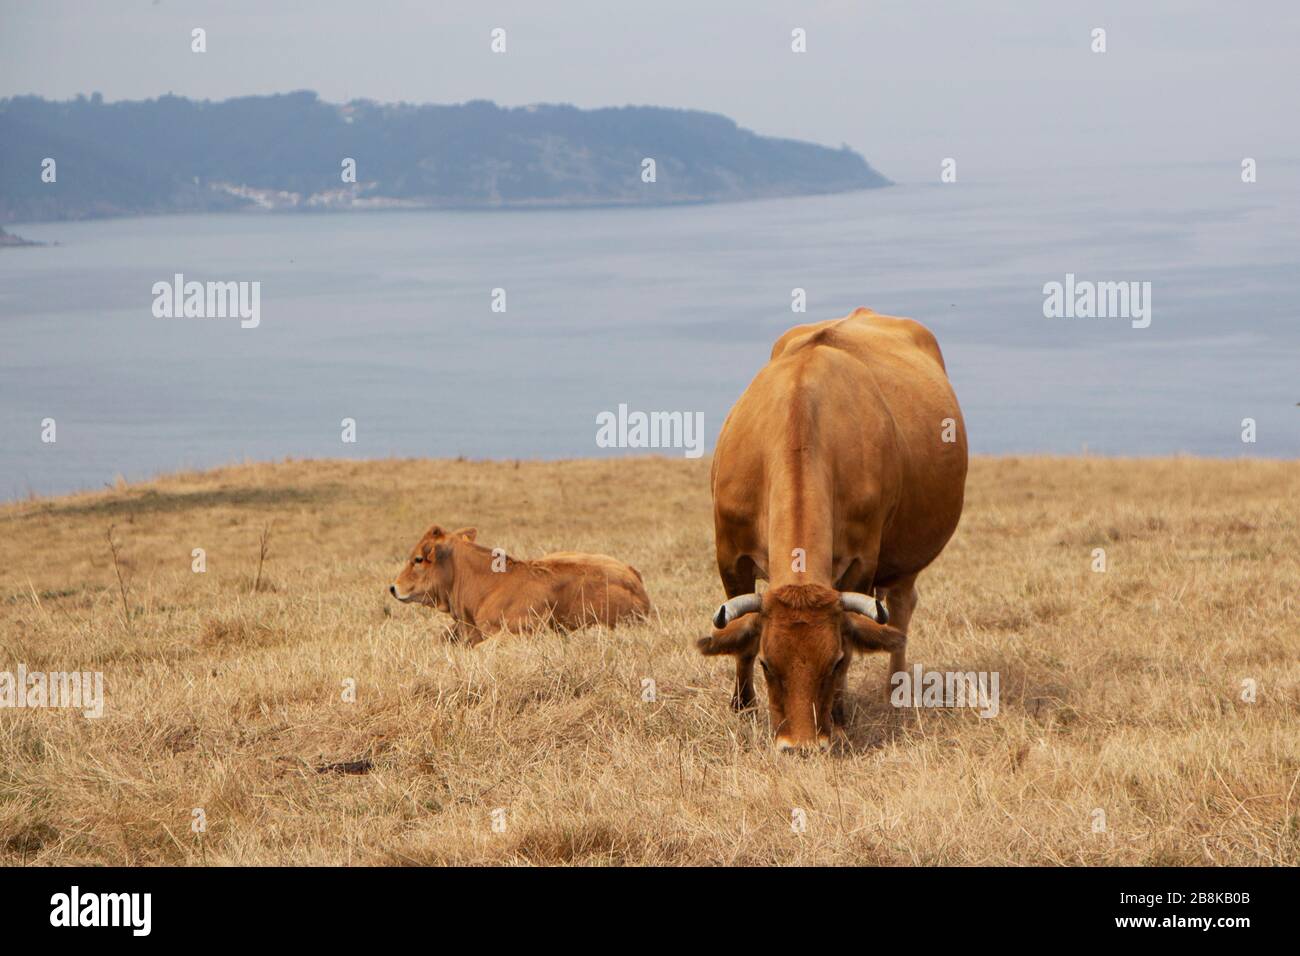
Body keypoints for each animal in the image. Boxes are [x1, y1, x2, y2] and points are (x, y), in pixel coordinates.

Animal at [698, 308, 968, 751]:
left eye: (835, 661)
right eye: (768, 664)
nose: (801, 747)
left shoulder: (861, 561)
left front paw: (839, 718)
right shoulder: (730, 555)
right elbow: (739, 636)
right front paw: (742, 706)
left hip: (904, 561)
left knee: (900, 610)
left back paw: (895, 688)